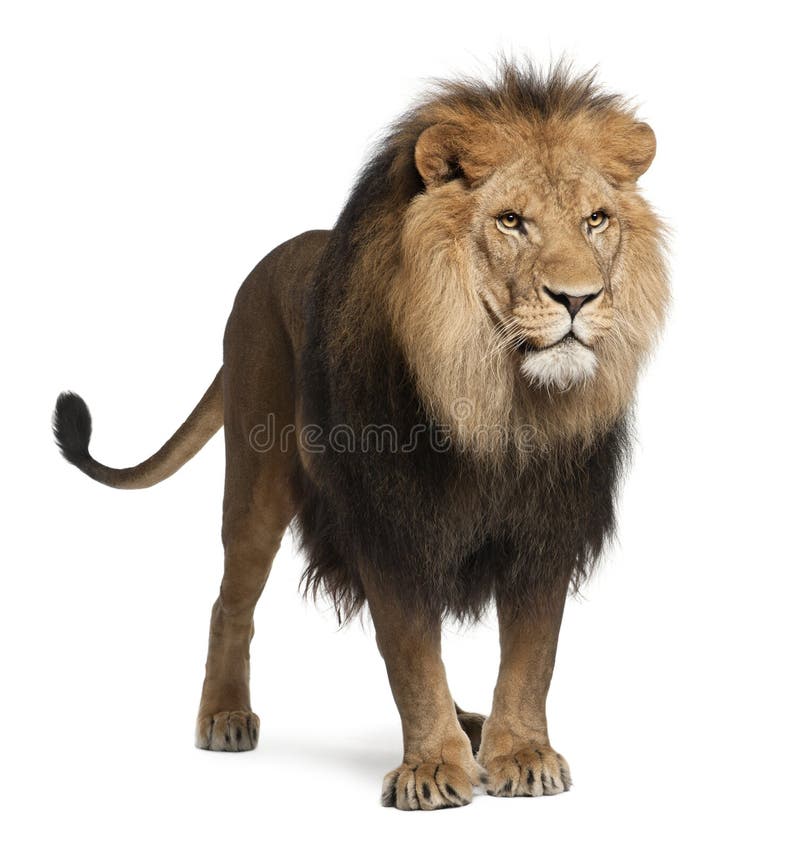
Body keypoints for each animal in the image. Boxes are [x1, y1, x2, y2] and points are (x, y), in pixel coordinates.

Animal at [53, 62, 668, 810]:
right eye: (511, 221)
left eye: (595, 219)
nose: (578, 299)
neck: (496, 401)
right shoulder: (389, 521)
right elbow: (411, 655)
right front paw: (432, 768)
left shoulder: (545, 527)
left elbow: (531, 655)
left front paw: (521, 753)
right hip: (256, 481)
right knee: (230, 601)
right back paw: (225, 714)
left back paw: (472, 724)